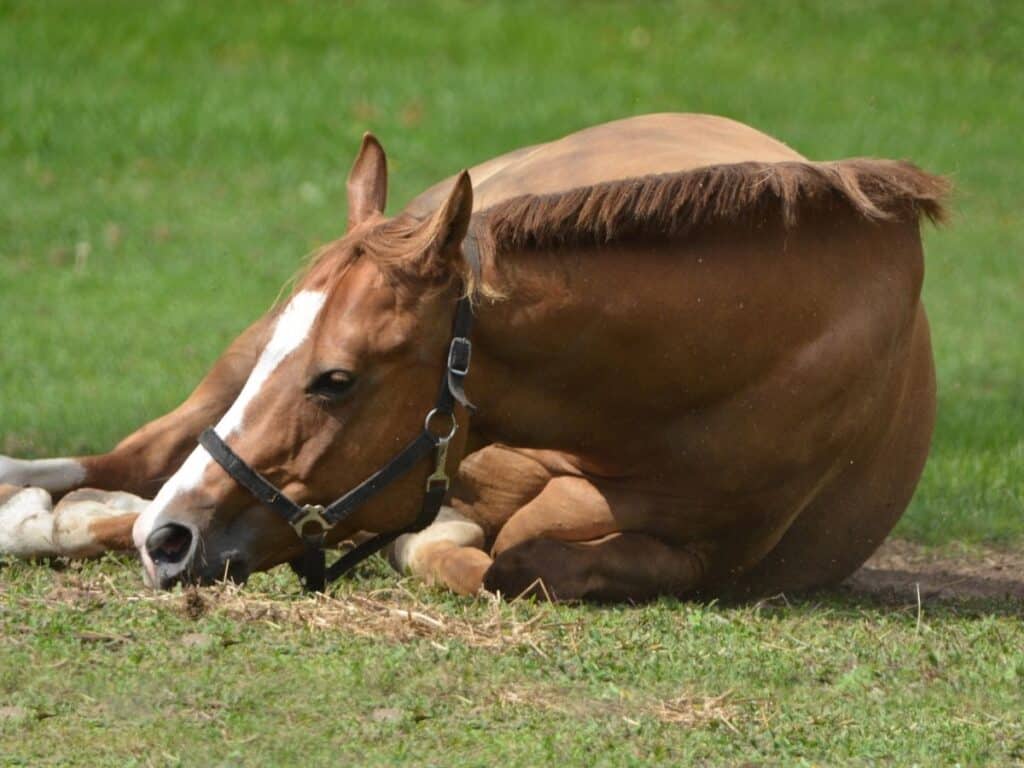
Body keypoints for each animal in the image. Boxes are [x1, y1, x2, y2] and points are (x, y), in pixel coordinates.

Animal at [0, 113, 948, 601]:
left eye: (336, 380)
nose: (171, 539)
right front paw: (56, 518)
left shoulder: (706, 560)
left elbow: (512, 560)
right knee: (140, 455)